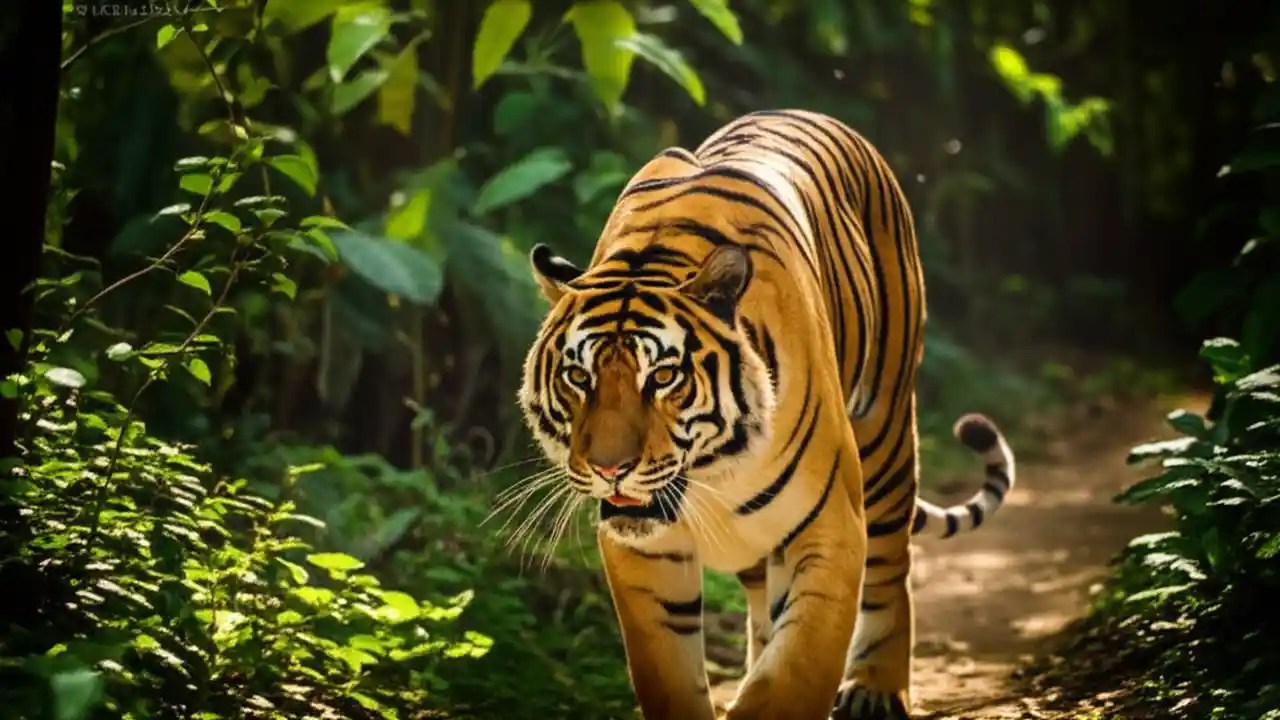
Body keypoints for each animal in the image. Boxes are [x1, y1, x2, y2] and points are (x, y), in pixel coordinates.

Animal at [516, 109, 1016, 720]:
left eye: (663, 376)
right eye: (578, 377)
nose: (611, 470)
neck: (713, 473)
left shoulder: (830, 527)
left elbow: (794, 672)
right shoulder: (646, 554)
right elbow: (670, 674)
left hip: (885, 438)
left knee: (890, 569)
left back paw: (875, 687)